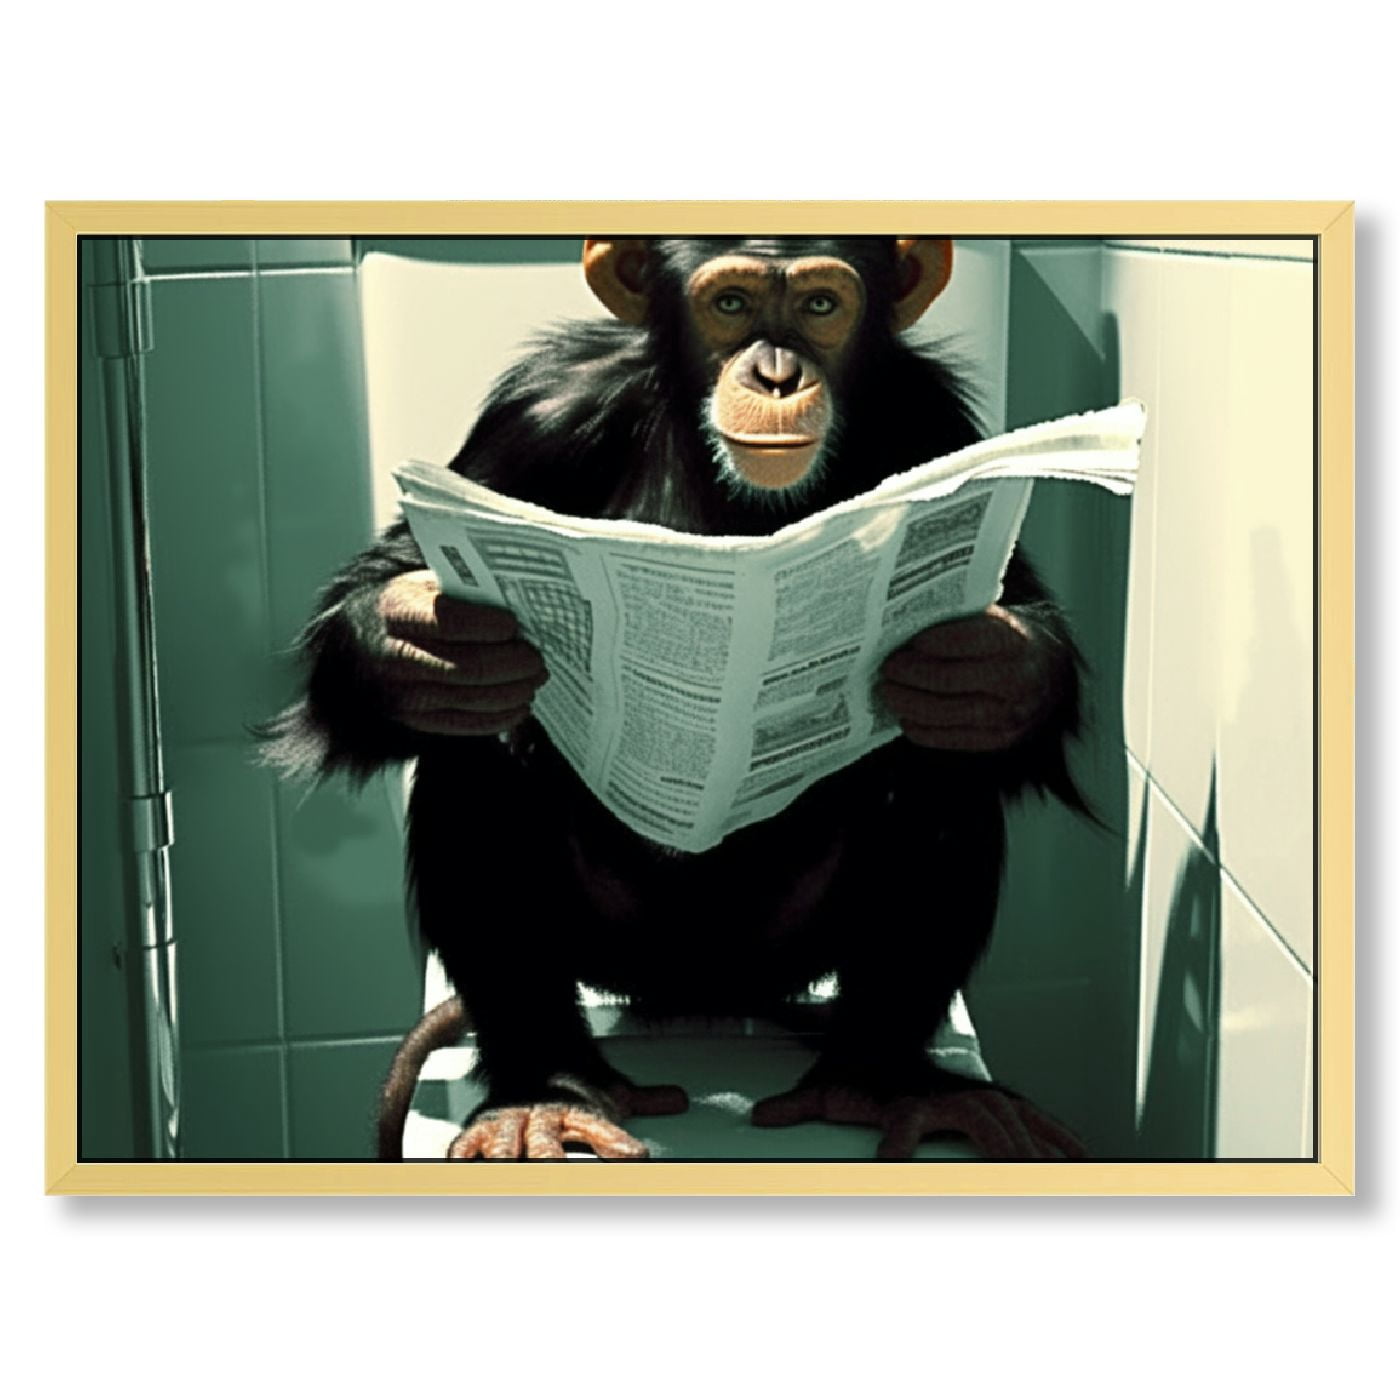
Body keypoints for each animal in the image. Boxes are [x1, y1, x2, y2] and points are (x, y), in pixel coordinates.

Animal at [263, 237, 1089, 1161]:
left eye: (820, 306)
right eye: (729, 305)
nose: (776, 373)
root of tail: (706, 1004)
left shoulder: (938, 430)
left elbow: (1013, 621)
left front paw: (984, 669)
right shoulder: (540, 415)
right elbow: (396, 572)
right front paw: (429, 643)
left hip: (790, 950)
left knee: (941, 751)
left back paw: (878, 1080)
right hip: (611, 950)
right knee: (470, 740)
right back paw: (543, 1088)